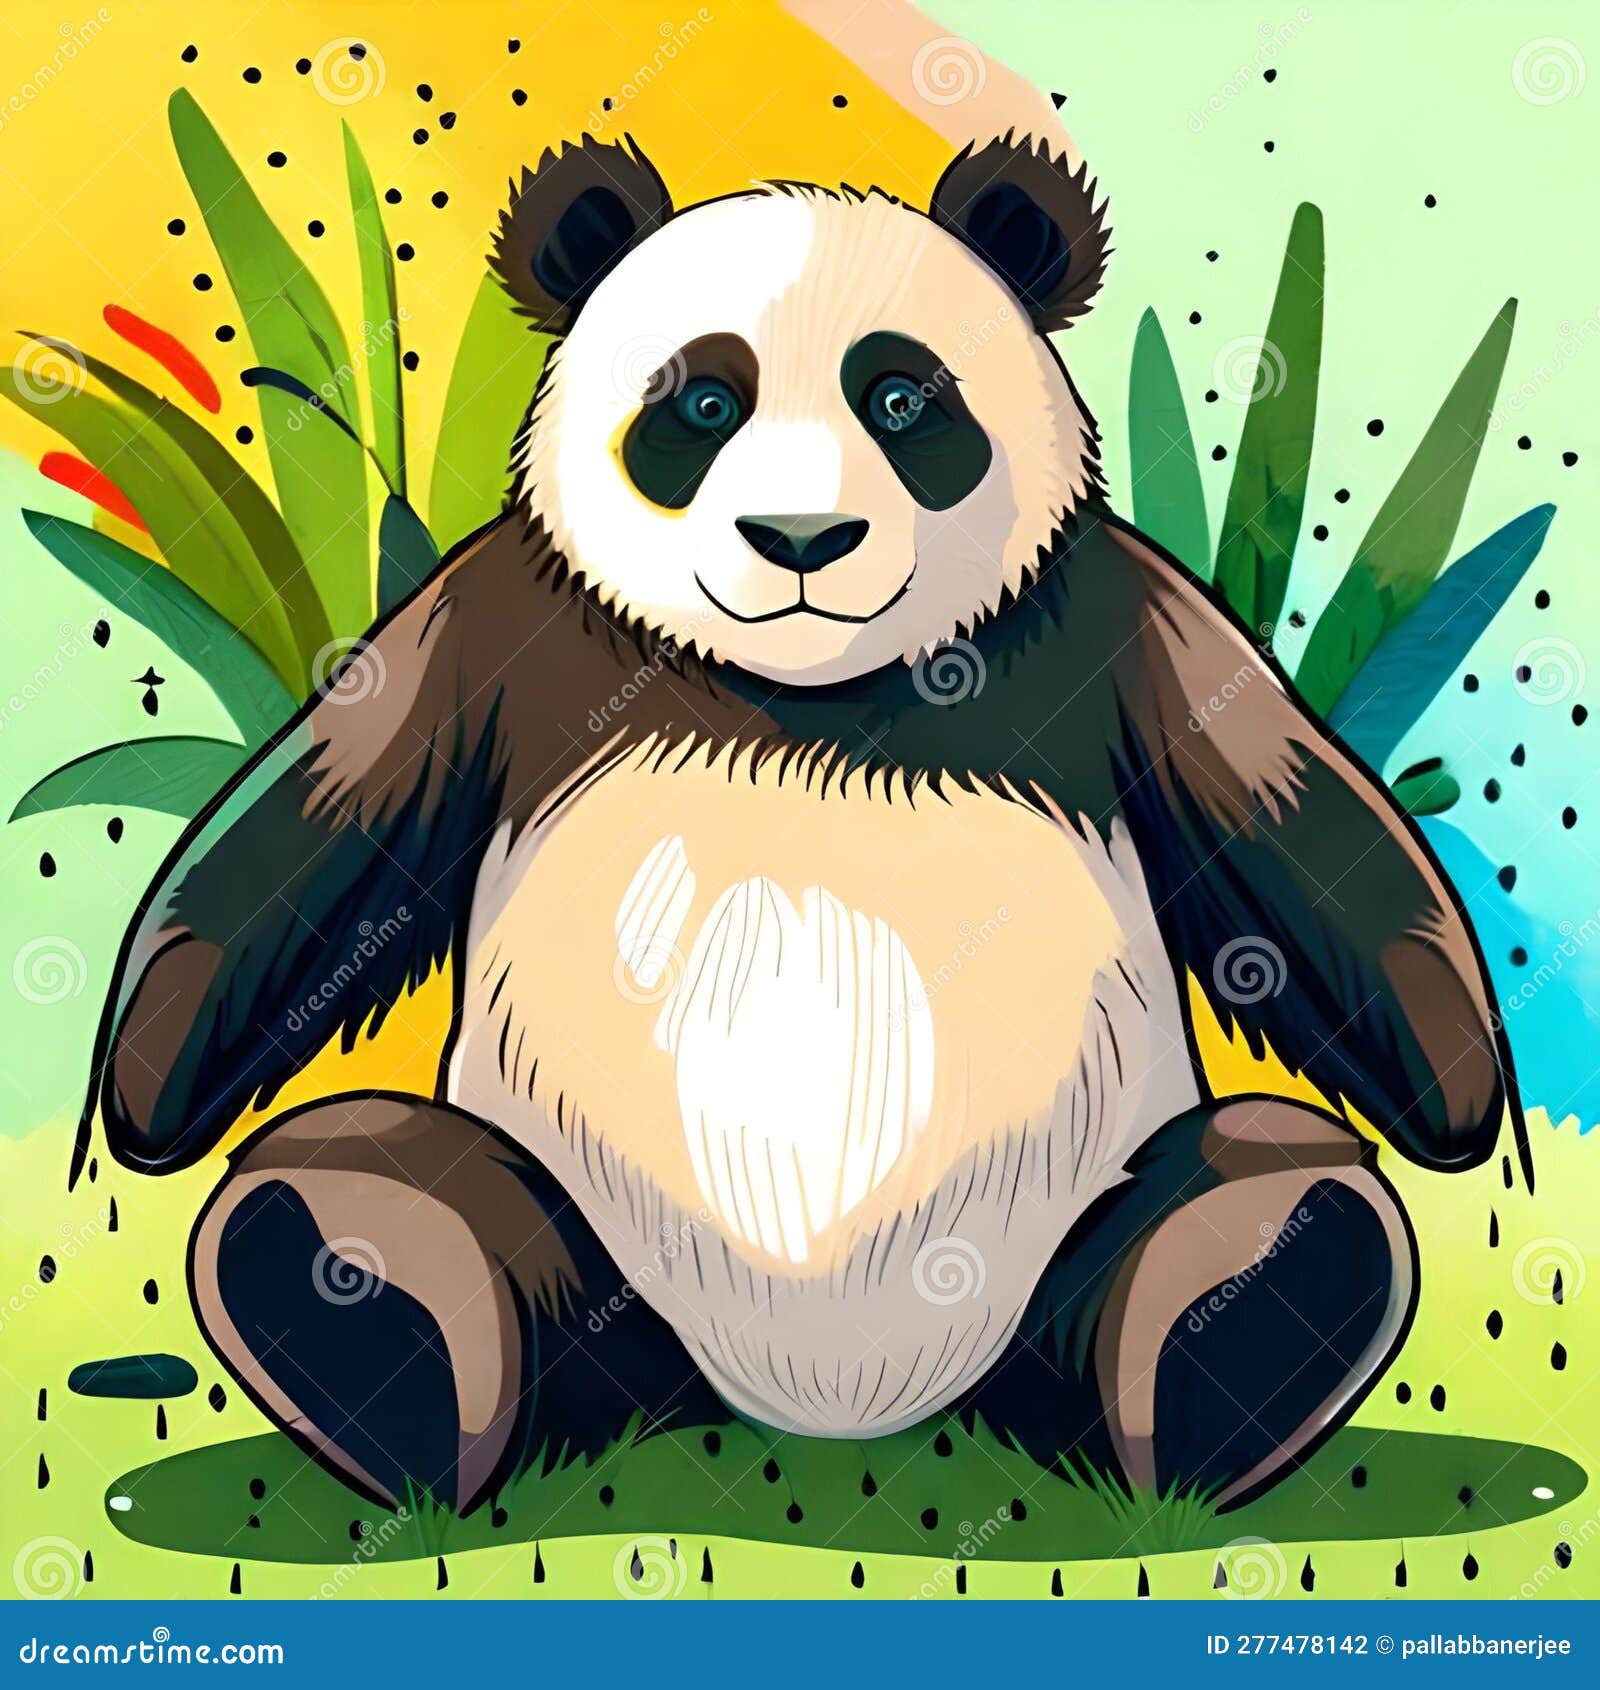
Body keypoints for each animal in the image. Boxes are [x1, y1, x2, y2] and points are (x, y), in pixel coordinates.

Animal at [82, 132, 1525, 1519]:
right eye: (703, 404)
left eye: (901, 401)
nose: (801, 538)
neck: (806, 694)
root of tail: (827, 1411)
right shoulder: (509, 618)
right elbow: (318, 813)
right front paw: (137, 1092)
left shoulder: (1109, 615)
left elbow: (1300, 818)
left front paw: (1467, 1094)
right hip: (602, 1281)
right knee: (375, 1182)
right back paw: (378, 1331)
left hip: (1047, 1279)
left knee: (1254, 1188)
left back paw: (1233, 1325)